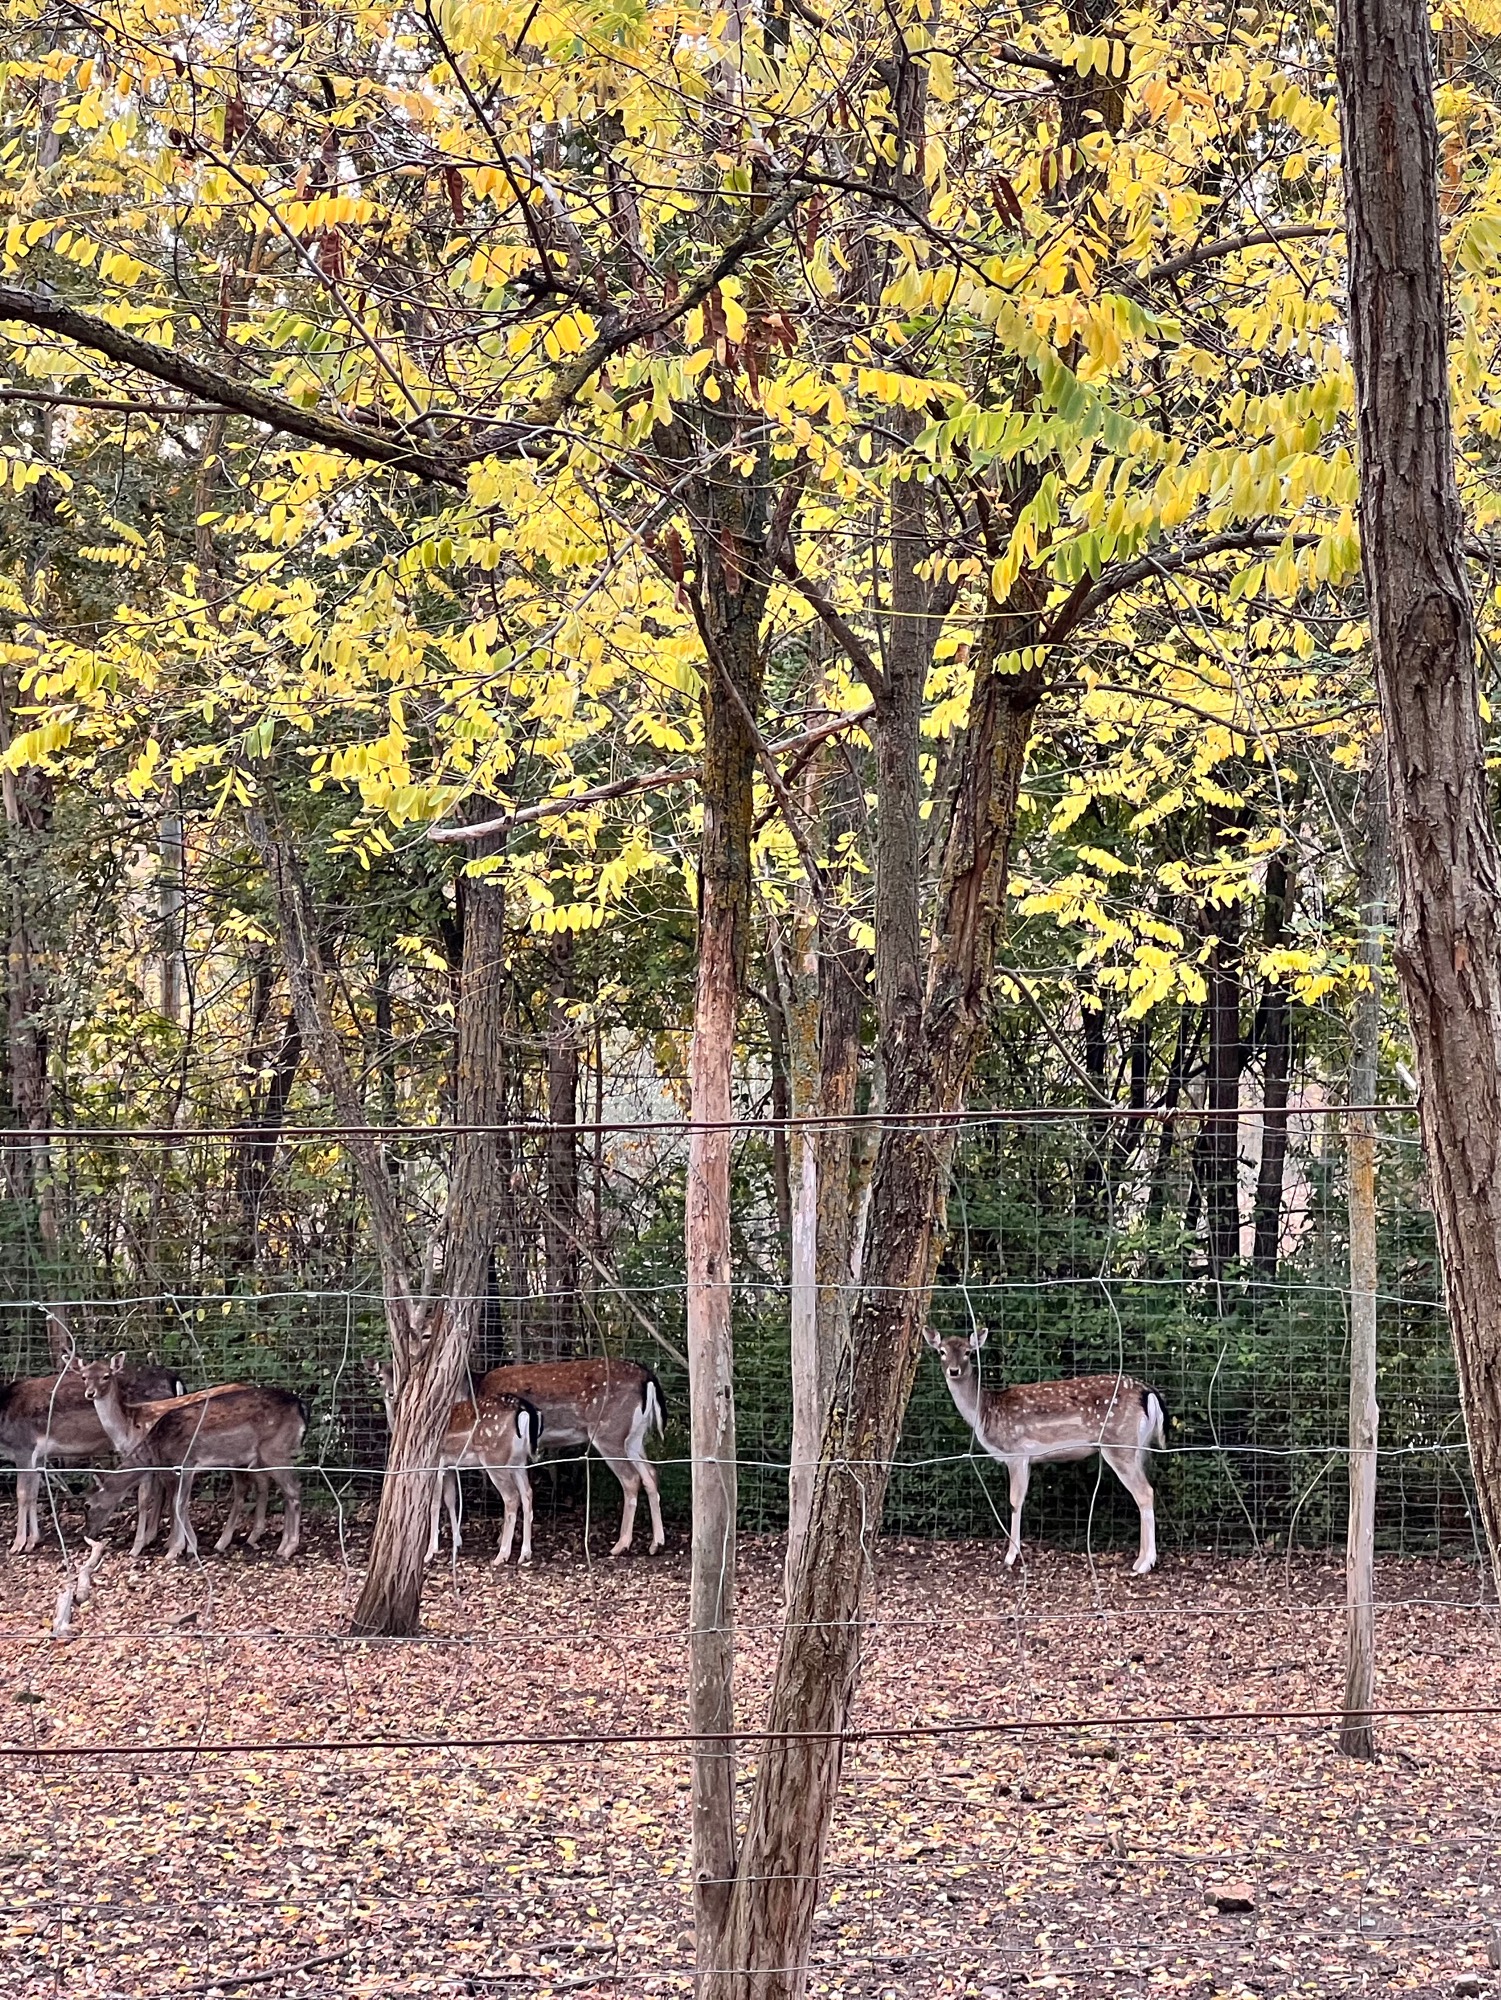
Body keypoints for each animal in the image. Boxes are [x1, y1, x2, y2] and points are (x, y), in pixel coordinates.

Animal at [0, 1360, 184, 1560]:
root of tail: (175, 1378)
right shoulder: (39, 1455)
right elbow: (33, 1493)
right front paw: (33, 1540)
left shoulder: (23, 1447)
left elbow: (22, 1494)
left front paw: (17, 1544)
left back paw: (155, 1538)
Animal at [72, 1360, 306, 1560]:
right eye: (83, 1377)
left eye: (87, 1505)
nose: (87, 1533)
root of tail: (301, 1408)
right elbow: (174, 1501)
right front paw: (182, 1544)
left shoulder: (179, 1465)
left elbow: (158, 1500)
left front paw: (152, 1546)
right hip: (253, 1457)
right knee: (266, 1486)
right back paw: (256, 1538)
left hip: (272, 1451)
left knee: (287, 1489)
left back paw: (282, 1547)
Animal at [476, 1360, 664, 1560]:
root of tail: (648, 1378)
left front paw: (503, 1541)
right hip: (634, 1437)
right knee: (651, 1474)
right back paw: (656, 1544)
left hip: (610, 1432)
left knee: (631, 1478)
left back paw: (621, 1545)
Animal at [928, 1328, 1160, 1576]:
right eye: (941, 1351)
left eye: (969, 1353)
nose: (953, 1370)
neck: (984, 1413)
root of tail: (1148, 1393)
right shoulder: (1027, 1459)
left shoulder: (1015, 1452)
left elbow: (1014, 1501)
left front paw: (1010, 1557)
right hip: (1138, 1448)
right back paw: (1142, 1559)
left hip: (1119, 1444)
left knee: (1145, 1492)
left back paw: (1145, 1563)